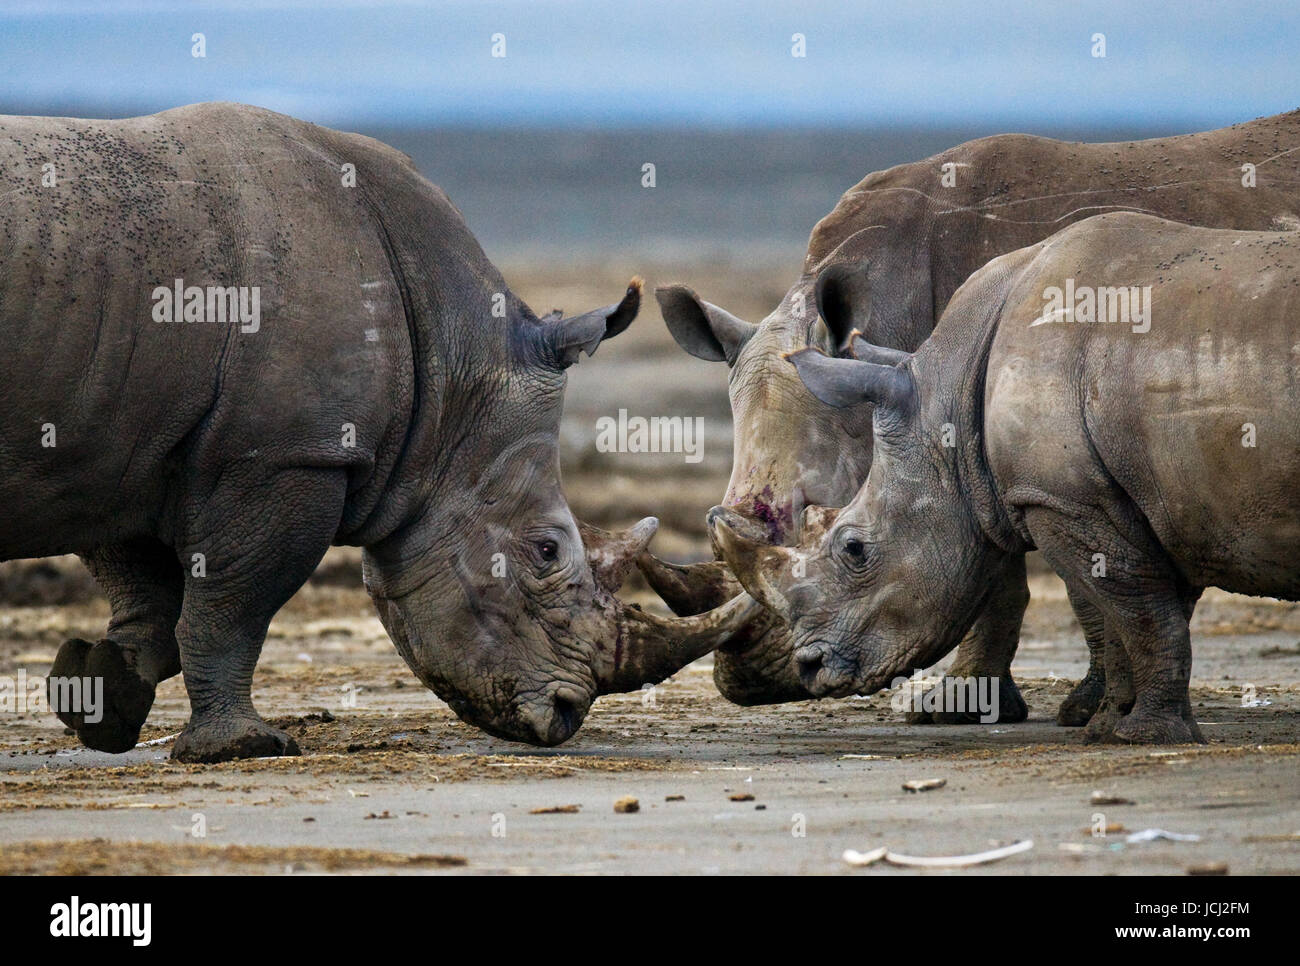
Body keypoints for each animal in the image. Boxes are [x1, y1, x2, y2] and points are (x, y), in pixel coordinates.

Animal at [0, 103, 755, 762]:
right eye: (545, 551)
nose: (567, 716)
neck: (455, 370)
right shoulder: (286, 455)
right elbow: (232, 605)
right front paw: (242, 748)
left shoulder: (120, 442)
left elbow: (148, 594)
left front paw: (95, 696)